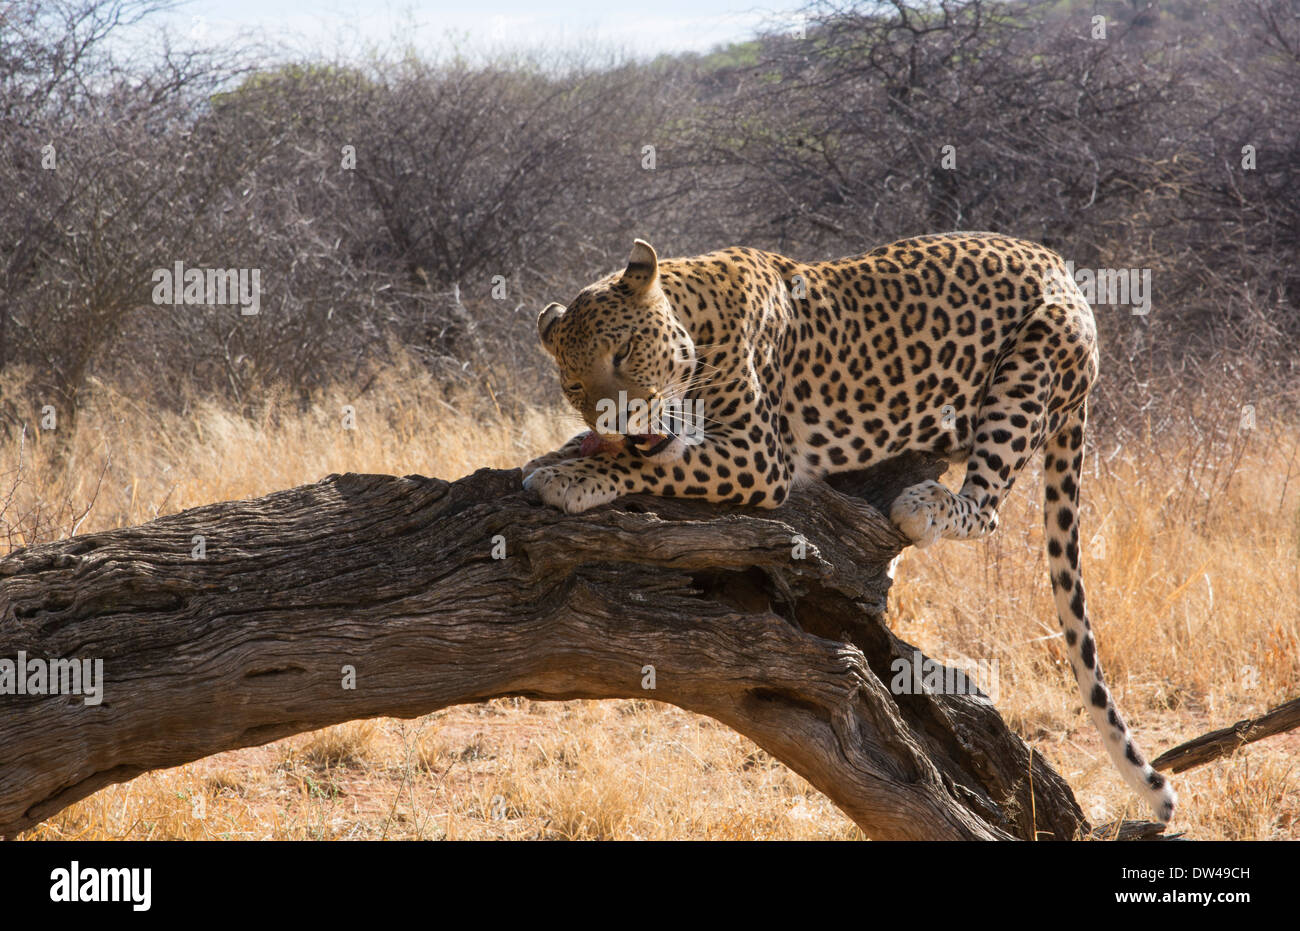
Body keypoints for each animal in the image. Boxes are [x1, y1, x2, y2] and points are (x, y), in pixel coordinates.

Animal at [521, 232, 1177, 824]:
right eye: (574, 385)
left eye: (625, 351)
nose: (617, 420)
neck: (694, 313)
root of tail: (1063, 269)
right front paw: (562, 452)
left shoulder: (759, 456)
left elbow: (649, 462)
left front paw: (569, 476)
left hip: (1029, 366)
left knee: (987, 505)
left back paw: (923, 505)